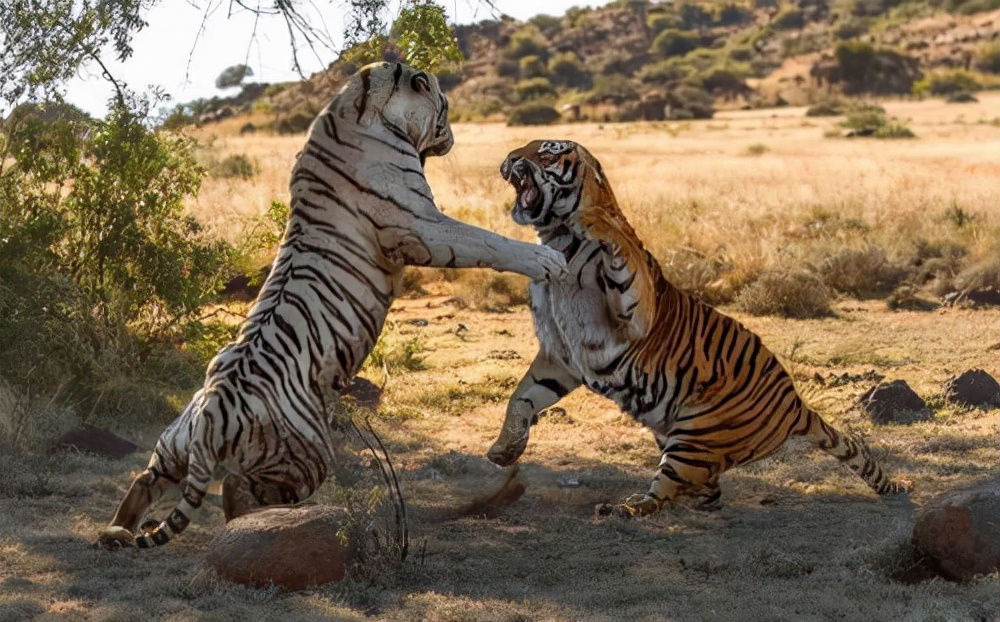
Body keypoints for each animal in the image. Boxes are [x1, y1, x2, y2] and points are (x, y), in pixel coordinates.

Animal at [96, 63, 566, 549]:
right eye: (445, 105)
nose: (452, 135)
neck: (358, 103)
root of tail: (211, 413)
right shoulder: (422, 226)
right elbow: (487, 241)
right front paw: (547, 260)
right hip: (306, 456)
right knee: (235, 489)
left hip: (173, 444)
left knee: (146, 480)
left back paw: (115, 533)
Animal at [486, 139, 909, 517]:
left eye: (549, 151)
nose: (508, 159)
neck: (555, 237)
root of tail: (796, 405)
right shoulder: (560, 356)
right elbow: (521, 398)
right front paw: (504, 451)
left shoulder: (633, 315)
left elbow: (619, 245)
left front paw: (593, 220)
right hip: (677, 436)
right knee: (707, 492)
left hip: (695, 435)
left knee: (666, 492)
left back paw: (623, 508)